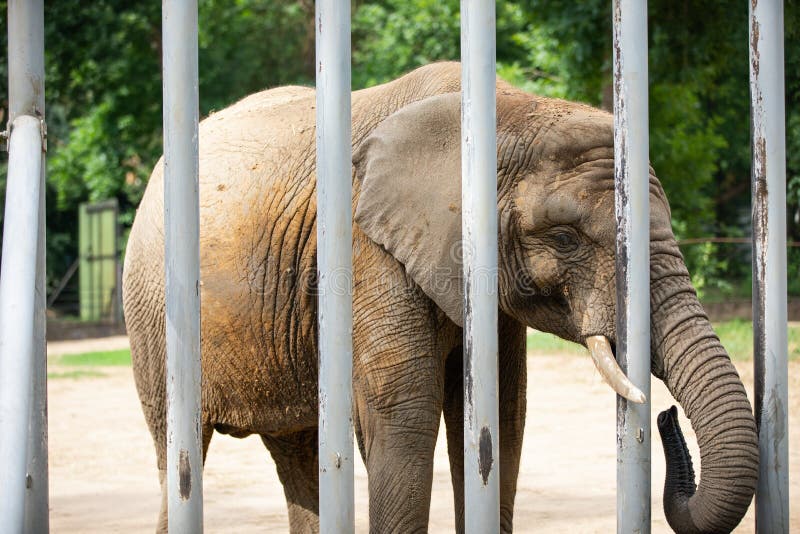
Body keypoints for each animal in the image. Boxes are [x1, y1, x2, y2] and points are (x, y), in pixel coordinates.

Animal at [122, 61, 758, 533]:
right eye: (565, 238)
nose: (666, 415)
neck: (506, 113)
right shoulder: (367, 250)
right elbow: (404, 411)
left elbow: (503, 414)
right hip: (152, 308)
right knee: (178, 454)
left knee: (298, 450)